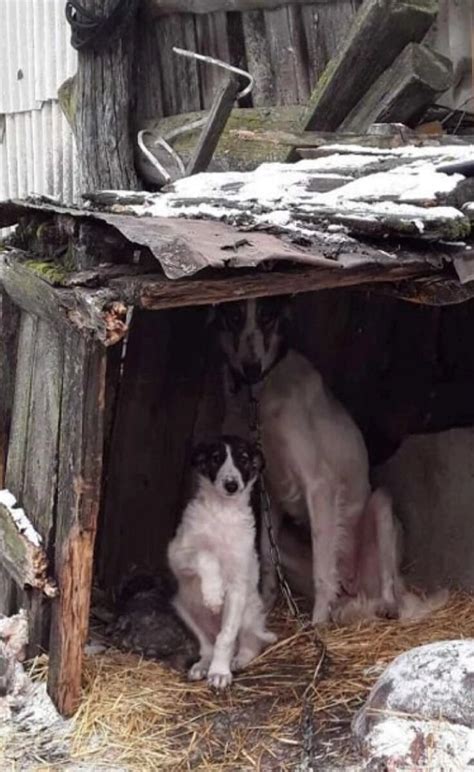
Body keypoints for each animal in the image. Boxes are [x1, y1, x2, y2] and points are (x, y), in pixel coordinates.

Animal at [168, 438, 276, 692]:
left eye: (244, 459)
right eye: (216, 458)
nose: (231, 485)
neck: (222, 513)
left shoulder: (237, 586)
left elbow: (225, 637)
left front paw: (219, 672)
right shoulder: (177, 554)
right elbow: (206, 555)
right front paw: (213, 594)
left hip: (248, 614)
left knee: (248, 644)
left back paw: (237, 660)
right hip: (182, 607)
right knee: (206, 645)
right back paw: (202, 665)